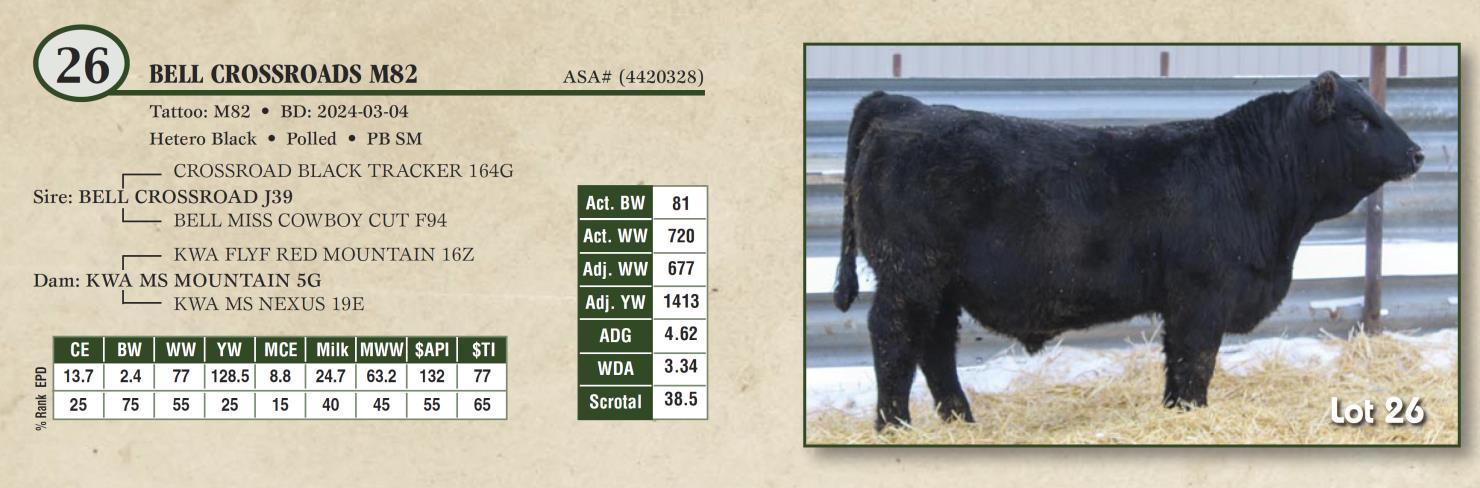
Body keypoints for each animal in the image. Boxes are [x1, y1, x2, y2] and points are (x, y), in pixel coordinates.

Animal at [832, 71, 1425, 431]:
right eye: (1358, 117)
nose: (1418, 153)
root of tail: (905, 106)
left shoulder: (1183, 303)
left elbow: (1178, 366)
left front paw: (1175, 415)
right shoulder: (1202, 297)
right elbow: (1195, 363)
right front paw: (1191, 416)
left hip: (940, 286)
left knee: (935, 347)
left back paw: (961, 421)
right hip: (910, 276)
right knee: (894, 340)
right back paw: (893, 425)